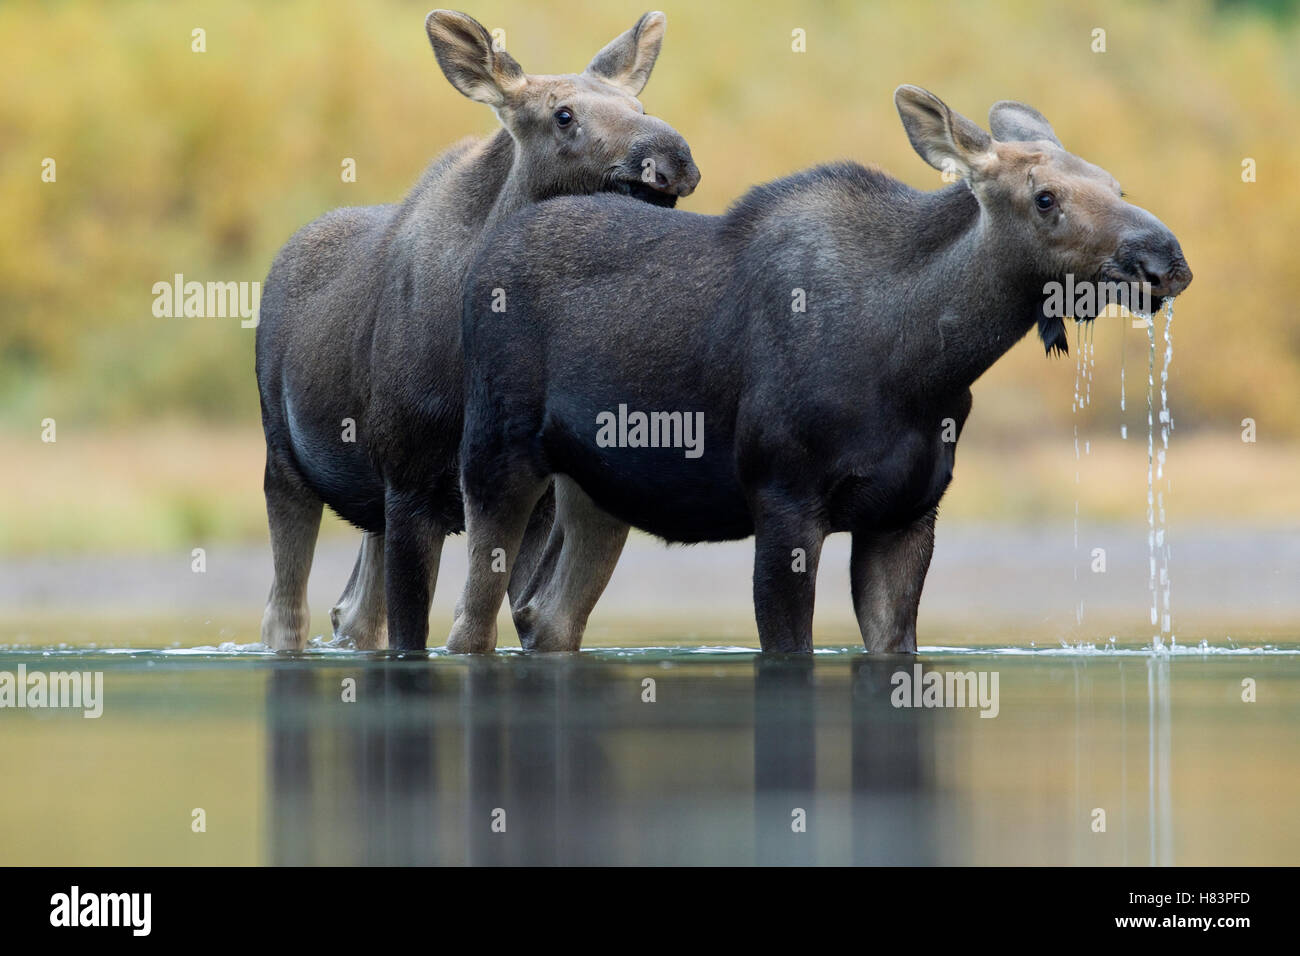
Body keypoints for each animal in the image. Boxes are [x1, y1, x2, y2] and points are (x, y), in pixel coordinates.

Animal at [255, 10, 699, 652]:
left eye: (640, 105)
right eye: (564, 115)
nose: (673, 155)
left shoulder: (534, 499)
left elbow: (531, 623)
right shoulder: (412, 487)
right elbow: (421, 635)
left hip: (370, 502)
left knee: (354, 611)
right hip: (283, 462)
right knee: (286, 611)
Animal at [448, 85, 1191, 655]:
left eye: (1116, 184)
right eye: (1044, 197)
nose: (1166, 259)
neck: (921, 364)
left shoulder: (907, 513)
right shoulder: (784, 501)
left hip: (597, 491)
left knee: (549, 618)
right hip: (496, 456)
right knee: (471, 622)